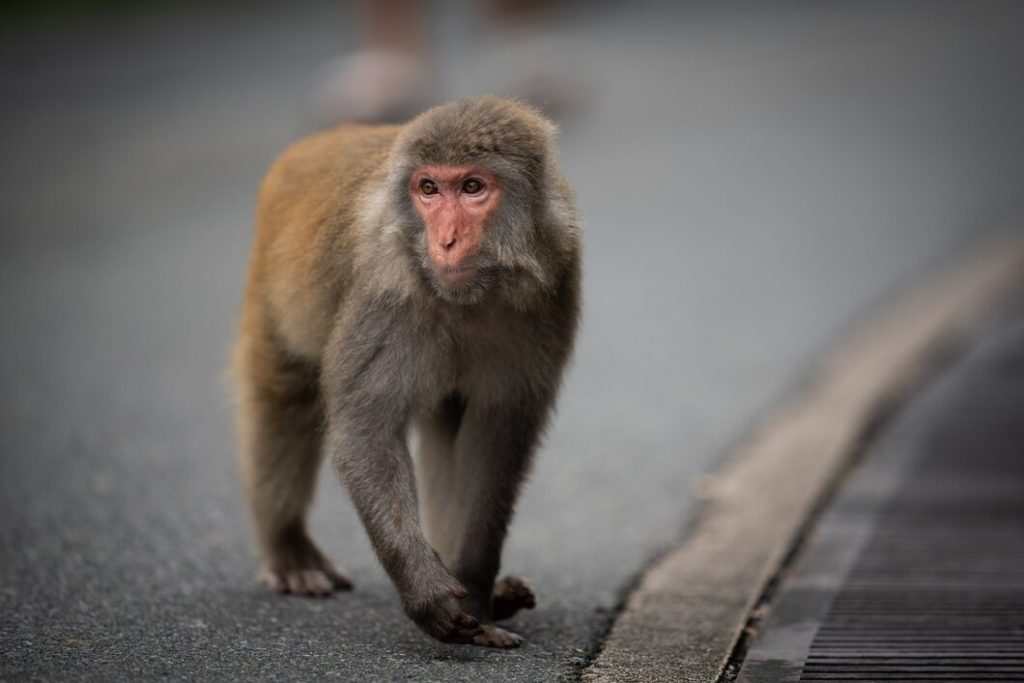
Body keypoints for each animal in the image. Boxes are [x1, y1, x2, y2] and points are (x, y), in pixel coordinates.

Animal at [233, 96, 580, 648]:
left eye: (473, 187)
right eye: (429, 189)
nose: (447, 240)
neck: (473, 295)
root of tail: (311, 145)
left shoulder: (556, 277)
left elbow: (496, 436)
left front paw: (475, 593)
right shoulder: (386, 289)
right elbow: (366, 427)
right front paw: (426, 591)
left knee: (450, 422)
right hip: (270, 297)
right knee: (283, 396)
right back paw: (289, 551)